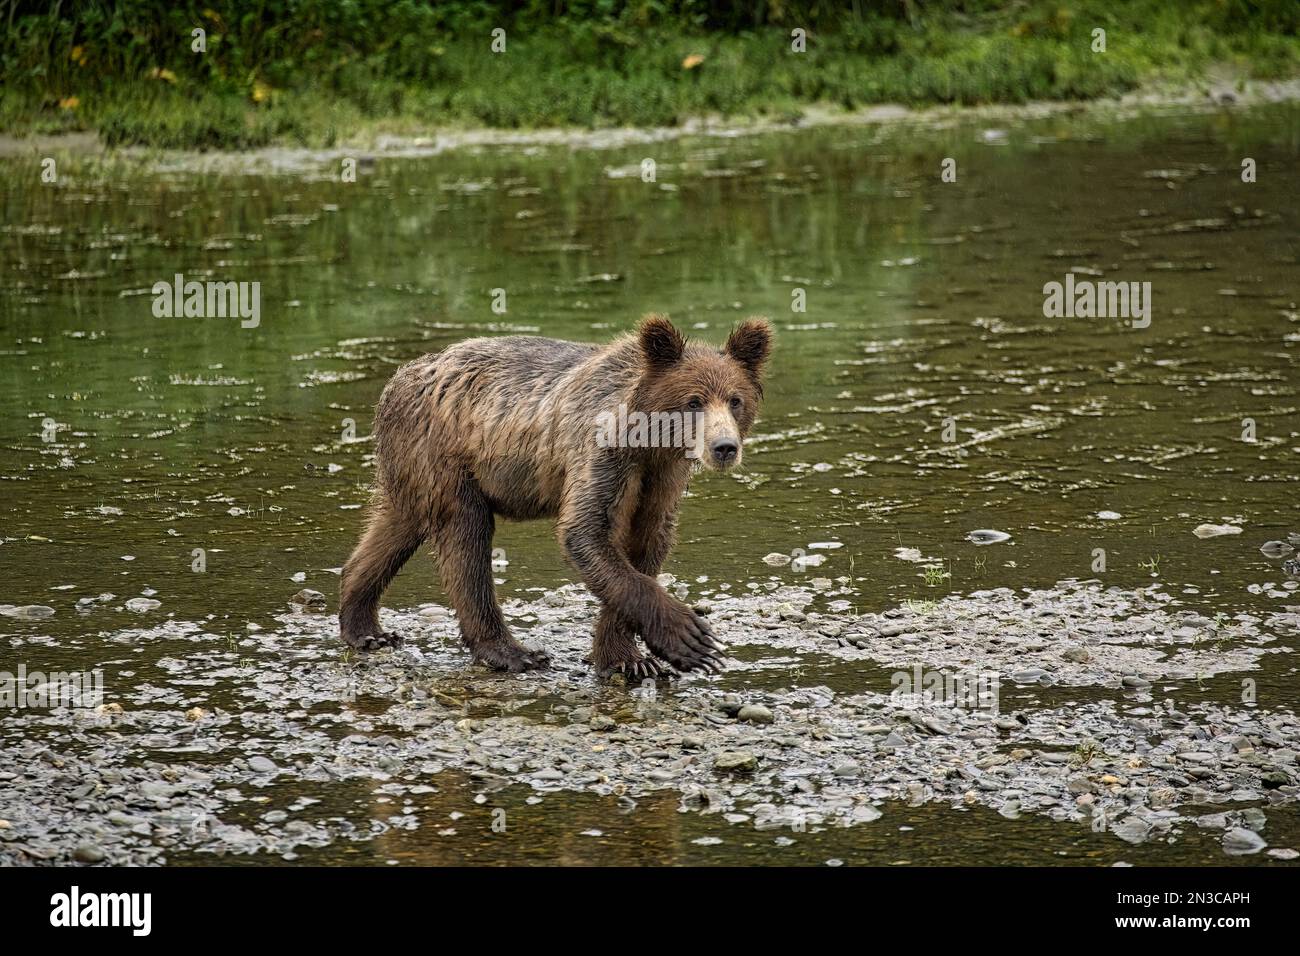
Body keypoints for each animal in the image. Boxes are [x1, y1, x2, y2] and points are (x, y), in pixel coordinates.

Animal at [337, 313, 772, 677]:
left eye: (735, 399)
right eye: (694, 401)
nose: (724, 447)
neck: (648, 440)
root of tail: (397, 381)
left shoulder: (661, 476)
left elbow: (647, 541)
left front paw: (628, 658)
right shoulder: (603, 452)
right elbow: (586, 532)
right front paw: (690, 639)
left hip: (413, 465)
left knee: (396, 526)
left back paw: (365, 627)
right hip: (445, 453)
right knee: (465, 538)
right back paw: (511, 652)